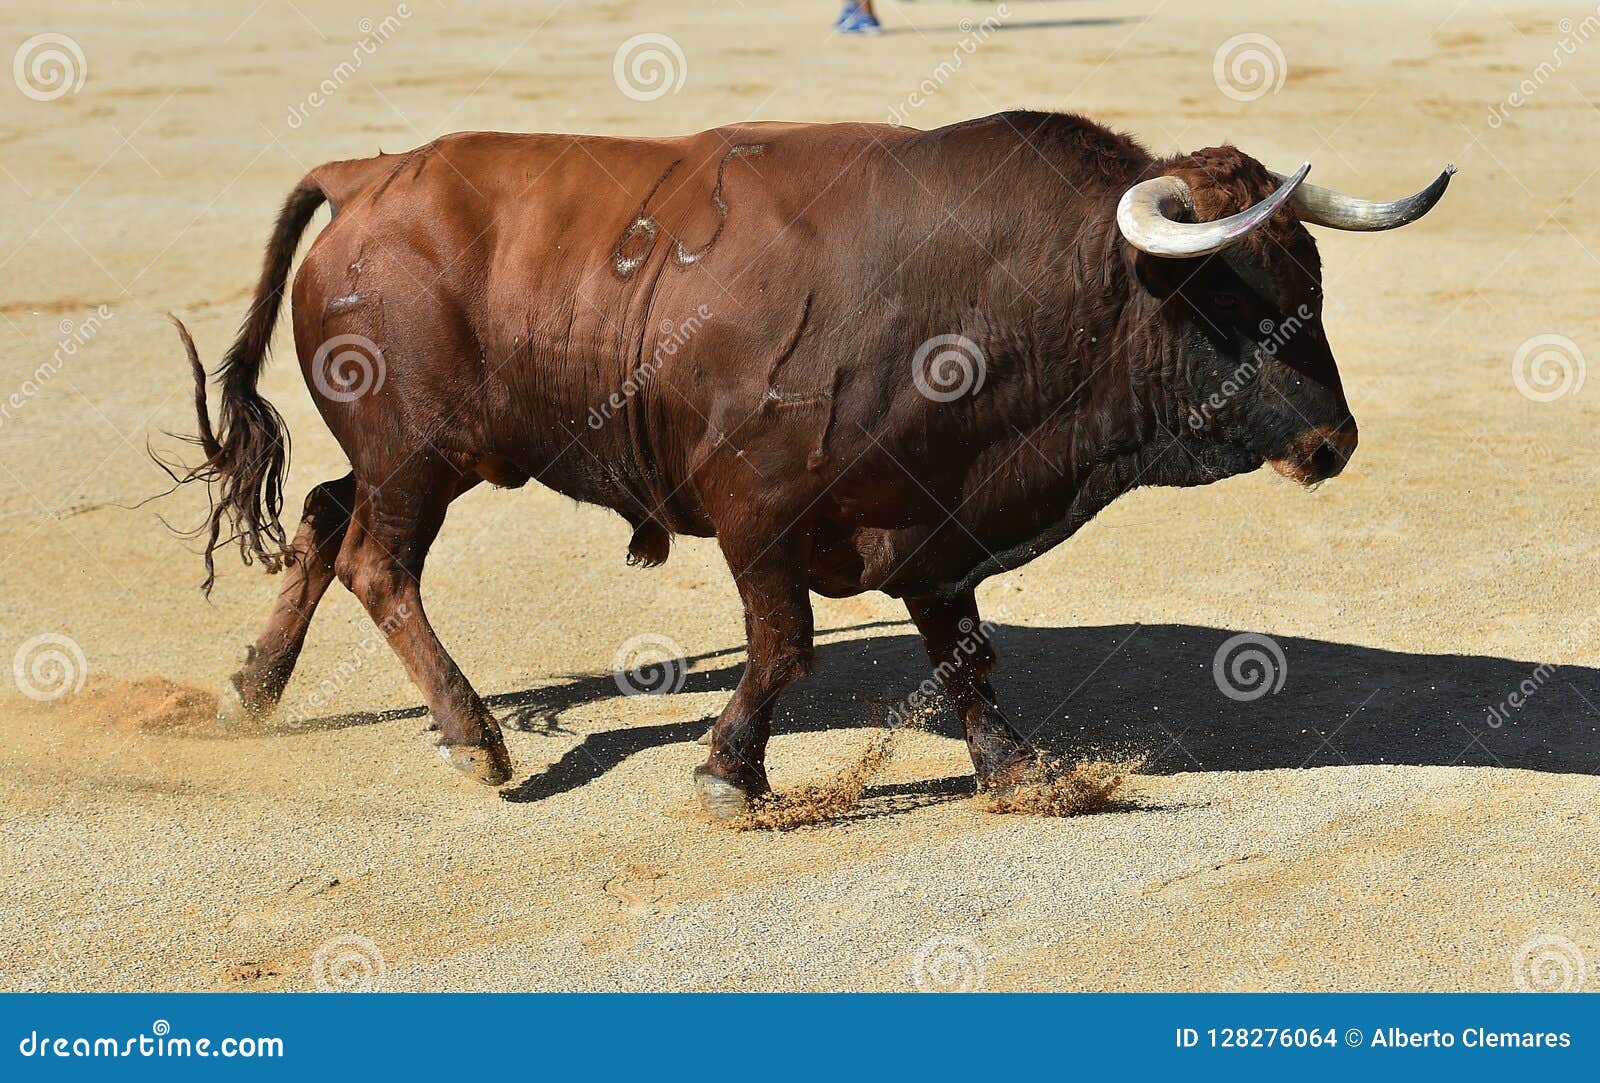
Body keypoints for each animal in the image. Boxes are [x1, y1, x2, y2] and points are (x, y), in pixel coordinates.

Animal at [170, 111, 1451, 818]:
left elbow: (966, 652)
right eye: (1231, 298)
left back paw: (253, 689)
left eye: (1310, 279)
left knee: (325, 519)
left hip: (416, 453)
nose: (1331, 443)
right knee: (379, 564)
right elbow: (783, 648)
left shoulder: (939, 519)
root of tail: (373, 172)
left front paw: (1016, 771)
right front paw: (729, 773)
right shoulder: (758, 513)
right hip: (420, 455)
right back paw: (474, 738)